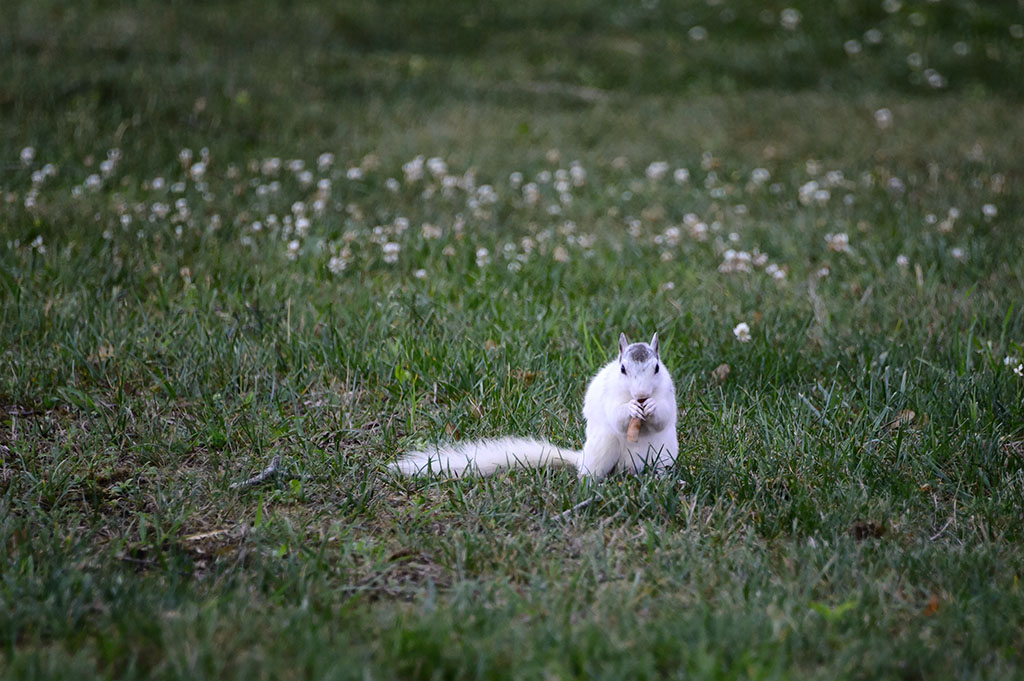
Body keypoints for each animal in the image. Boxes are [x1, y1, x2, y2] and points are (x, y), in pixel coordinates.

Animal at [390, 332, 678, 480]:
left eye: (656, 367)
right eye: (622, 369)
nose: (641, 395)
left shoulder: (668, 392)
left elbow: (664, 415)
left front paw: (652, 406)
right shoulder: (611, 395)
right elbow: (615, 415)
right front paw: (630, 410)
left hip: (662, 454)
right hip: (603, 449)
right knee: (591, 472)